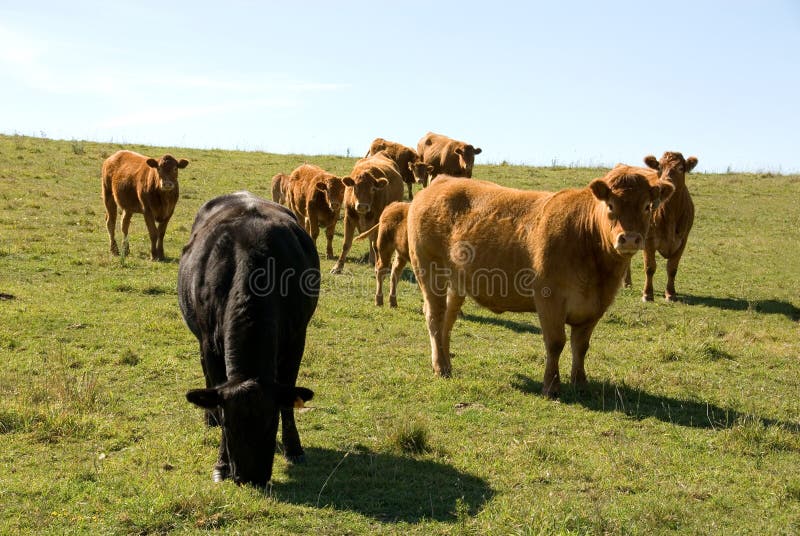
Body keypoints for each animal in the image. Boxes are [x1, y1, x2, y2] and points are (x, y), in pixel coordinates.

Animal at [178, 191, 318, 487]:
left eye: (271, 423)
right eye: (231, 425)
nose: (251, 478)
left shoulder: (296, 340)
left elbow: (289, 397)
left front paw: (294, 448)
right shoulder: (209, 344)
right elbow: (216, 389)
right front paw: (221, 464)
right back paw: (208, 418)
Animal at [407, 168, 674, 397]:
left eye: (647, 206)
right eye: (610, 205)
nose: (629, 239)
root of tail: (443, 181)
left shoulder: (596, 306)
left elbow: (581, 346)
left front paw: (580, 383)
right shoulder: (549, 299)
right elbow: (556, 343)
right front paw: (551, 386)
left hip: (457, 282)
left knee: (448, 320)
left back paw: (446, 363)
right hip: (430, 273)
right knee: (434, 317)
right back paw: (441, 367)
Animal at [626, 152, 698, 302]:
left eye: (681, 168)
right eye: (659, 167)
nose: (664, 184)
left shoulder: (683, 240)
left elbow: (672, 268)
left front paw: (670, 294)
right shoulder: (648, 239)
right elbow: (650, 267)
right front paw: (647, 294)